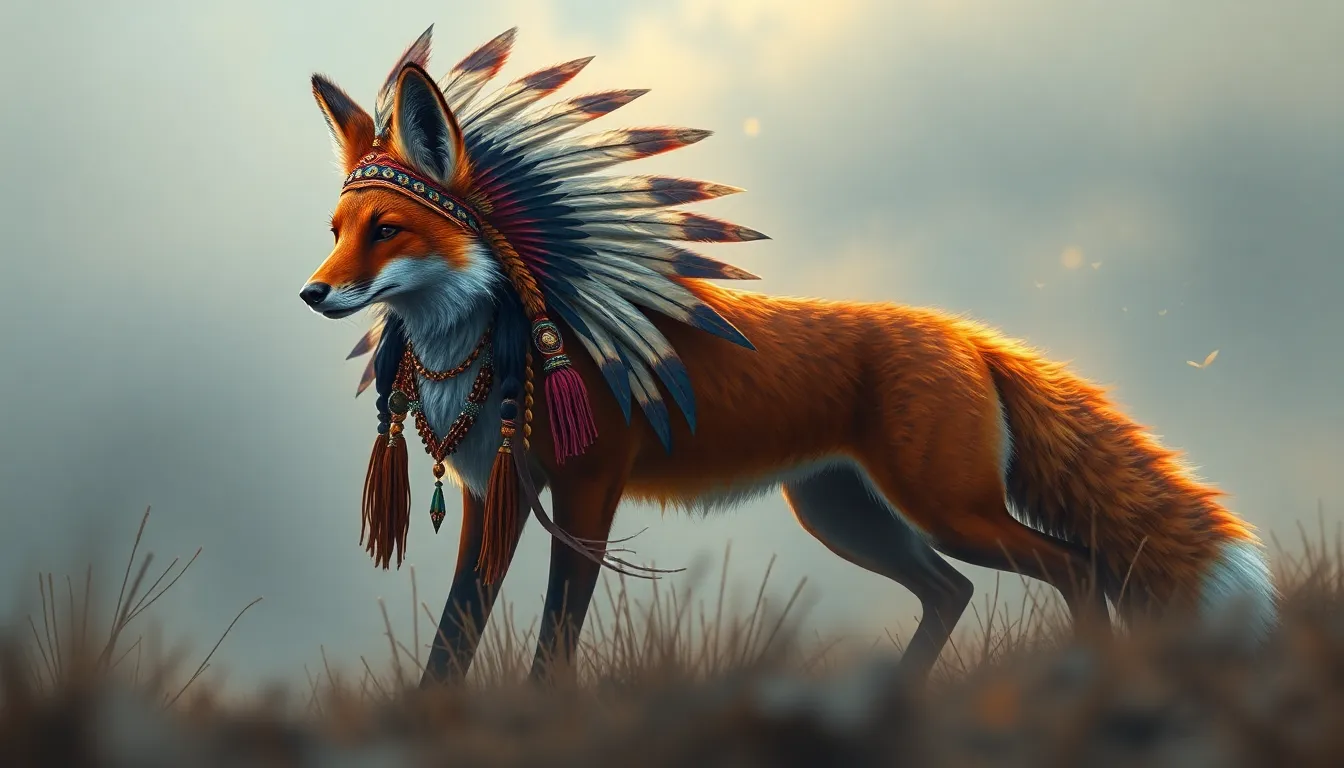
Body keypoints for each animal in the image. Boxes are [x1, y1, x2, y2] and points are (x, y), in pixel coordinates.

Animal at [300, 26, 1278, 686]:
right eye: (337, 231)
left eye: (387, 231)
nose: (312, 295)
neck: (496, 354)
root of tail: (967, 334)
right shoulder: (496, 496)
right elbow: (455, 633)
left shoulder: (587, 486)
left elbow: (554, 636)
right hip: (848, 516)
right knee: (953, 593)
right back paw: (905, 691)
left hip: (943, 509)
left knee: (1072, 564)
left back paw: (1093, 668)